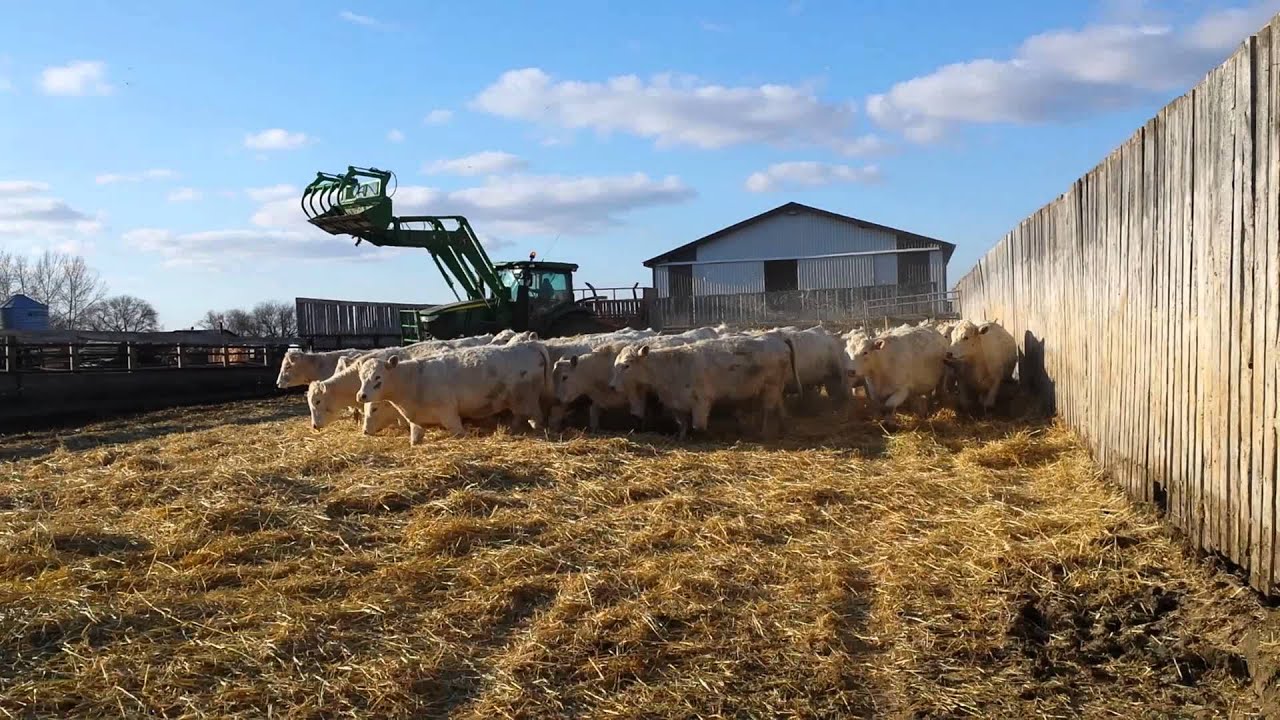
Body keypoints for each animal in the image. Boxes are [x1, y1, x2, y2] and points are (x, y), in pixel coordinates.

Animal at [354, 341, 552, 444]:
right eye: (361, 377)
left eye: (378, 377)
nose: (361, 396)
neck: (415, 380)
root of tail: (528, 345)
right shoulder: (416, 422)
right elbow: (415, 439)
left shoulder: (450, 415)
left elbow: (459, 433)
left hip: (527, 400)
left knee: (536, 418)